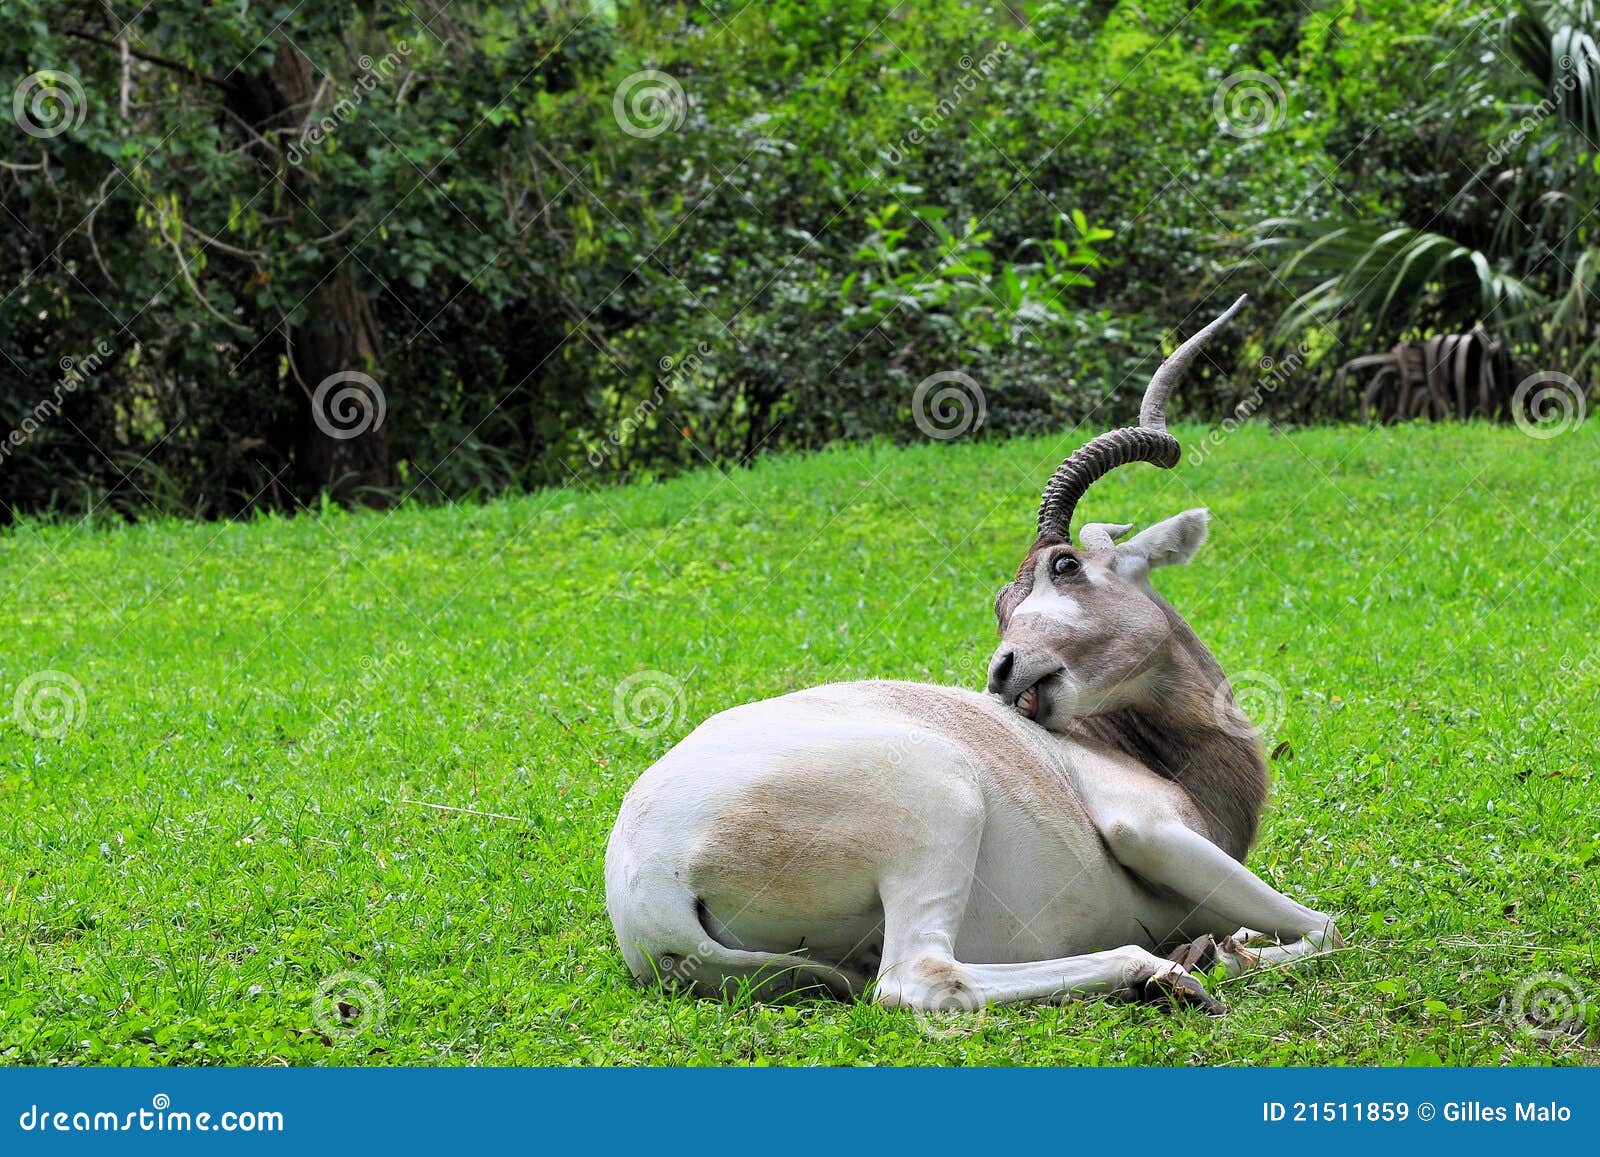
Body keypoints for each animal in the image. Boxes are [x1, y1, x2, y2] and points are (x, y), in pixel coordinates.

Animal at [605, 296, 1342, 1013]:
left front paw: (1220, 948)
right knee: (917, 978)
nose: (1003, 671)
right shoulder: (1147, 830)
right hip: (939, 803)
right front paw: (1223, 954)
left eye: (1063, 567)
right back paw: (1160, 974)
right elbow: (1325, 927)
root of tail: (648, 887)